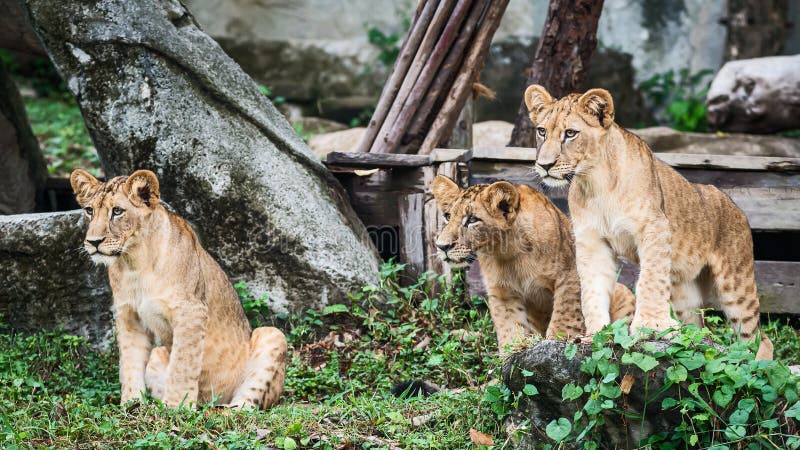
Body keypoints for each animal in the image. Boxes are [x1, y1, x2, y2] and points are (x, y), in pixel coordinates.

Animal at [70, 168, 287, 408]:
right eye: (89, 211)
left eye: (117, 211)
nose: (93, 242)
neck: (134, 262)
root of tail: (211, 402)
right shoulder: (129, 315)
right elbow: (129, 363)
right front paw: (131, 405)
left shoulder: (191, 311)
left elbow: (182, 364)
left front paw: (175, 407)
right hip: (157, 354)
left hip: (273, 336)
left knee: (247, 404)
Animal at [431, 176, 635, 349]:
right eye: (447, 216)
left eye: (472, 219)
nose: (442, 246)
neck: (506, 252)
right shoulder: (502, 291)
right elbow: (510, 328)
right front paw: (509, 358)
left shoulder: (570, 276)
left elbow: (564, 317)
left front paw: (557, 342)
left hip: (623, 291)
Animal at [523, 84, 773, 360]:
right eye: (542, 131)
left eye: (570, 133)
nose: (544, 165)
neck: (596, 182)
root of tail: (735, 205)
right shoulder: (592, 241)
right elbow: (592, 289)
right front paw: (595, 334)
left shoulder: (654, 228)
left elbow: (649, 280)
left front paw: (649, 325)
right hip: (685, 292)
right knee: (700, 329)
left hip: (736, 285)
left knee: (758, 338)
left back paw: (757, 364)